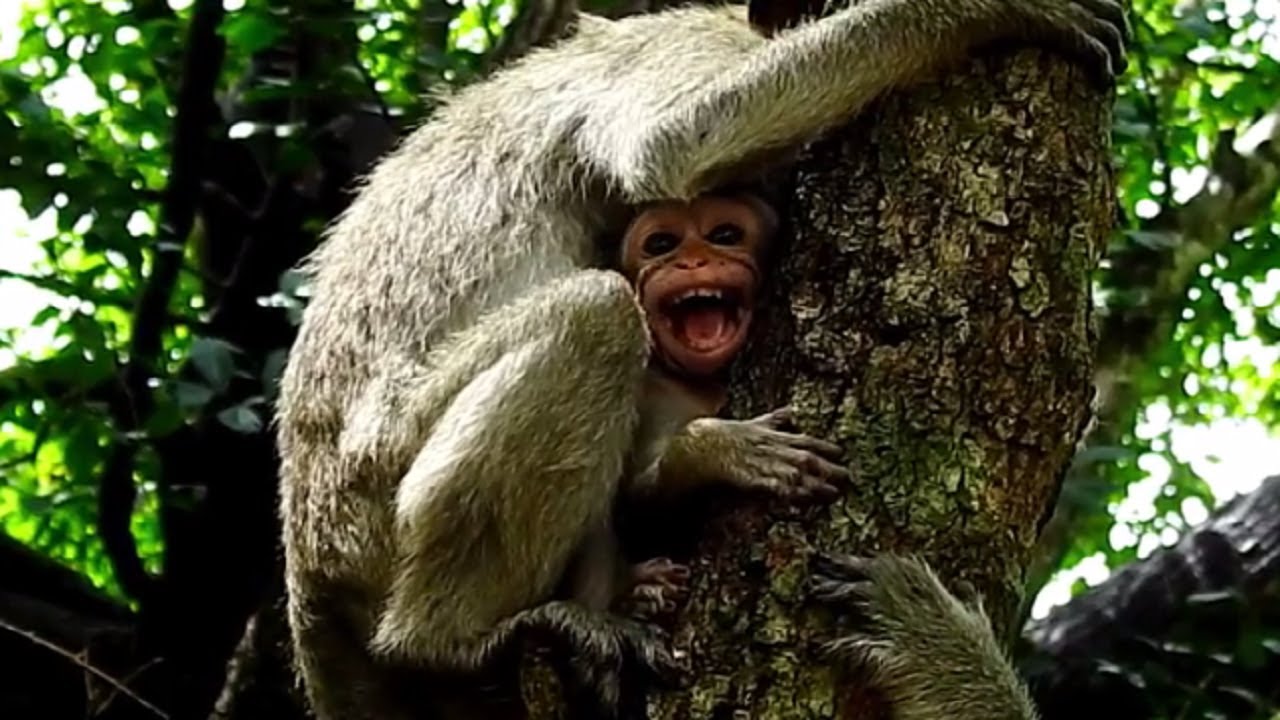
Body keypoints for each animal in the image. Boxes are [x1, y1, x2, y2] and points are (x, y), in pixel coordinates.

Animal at [275, 1, 1128, 718]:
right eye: (666, 241)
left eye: (723, 235)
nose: (690, 262)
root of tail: (305, 573)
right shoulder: (685, 42)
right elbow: (677, 147)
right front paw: (977, 14)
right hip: (373, 495)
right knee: (597, 316)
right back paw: (442, 643)